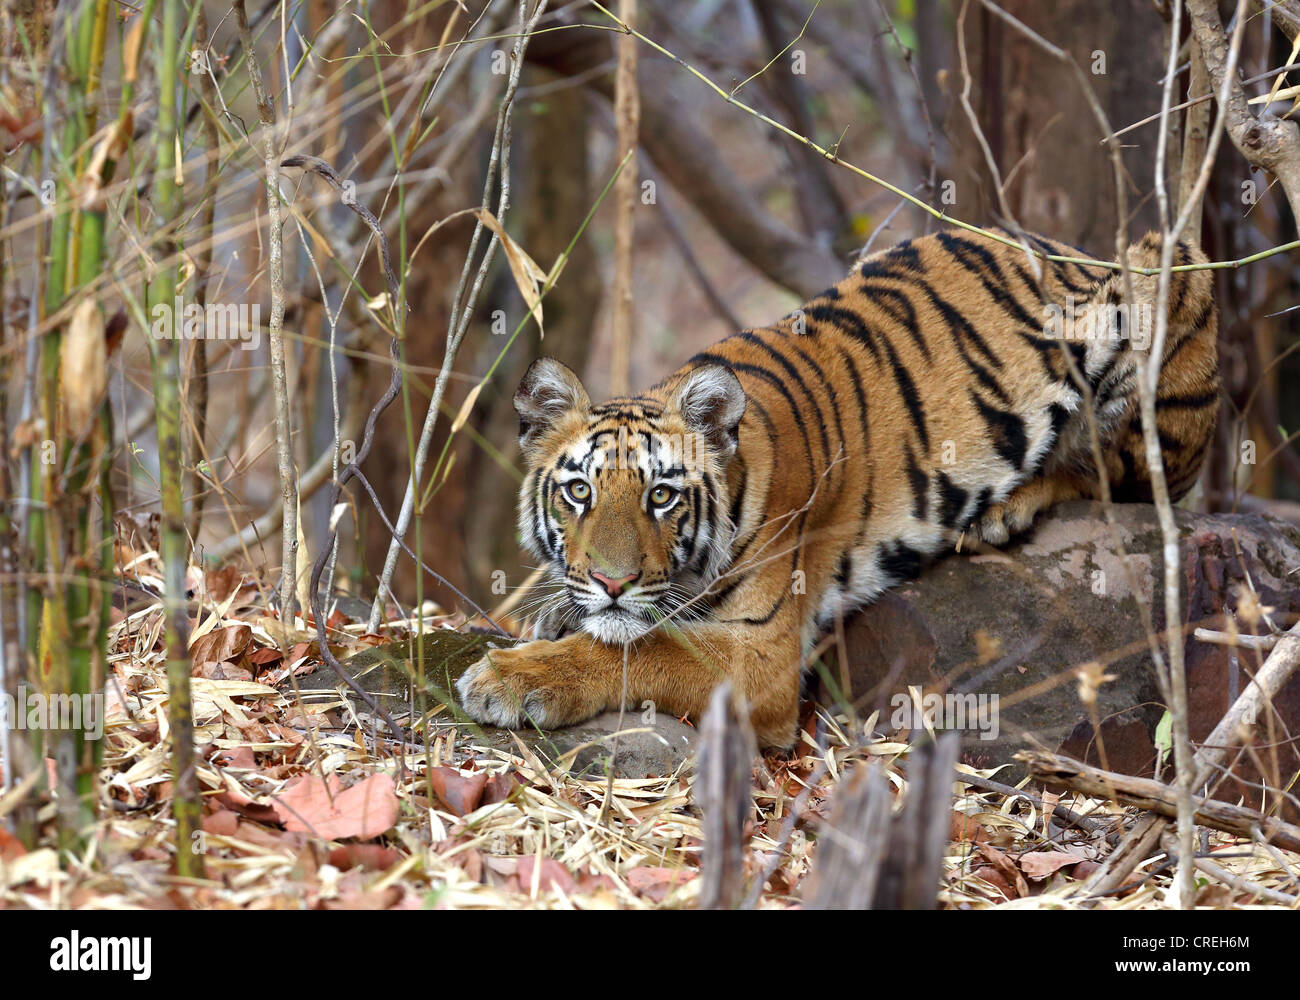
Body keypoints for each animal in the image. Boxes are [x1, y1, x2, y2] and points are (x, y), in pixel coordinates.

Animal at [456, 228, 1220, 748]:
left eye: (662, 496)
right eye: (578, 492)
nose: (612, 582)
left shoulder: (761, 656)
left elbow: (641, 649)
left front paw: (509, 680)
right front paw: (554, 618)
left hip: (1163, 289)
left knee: (1116, 477)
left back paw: (1005, 512)